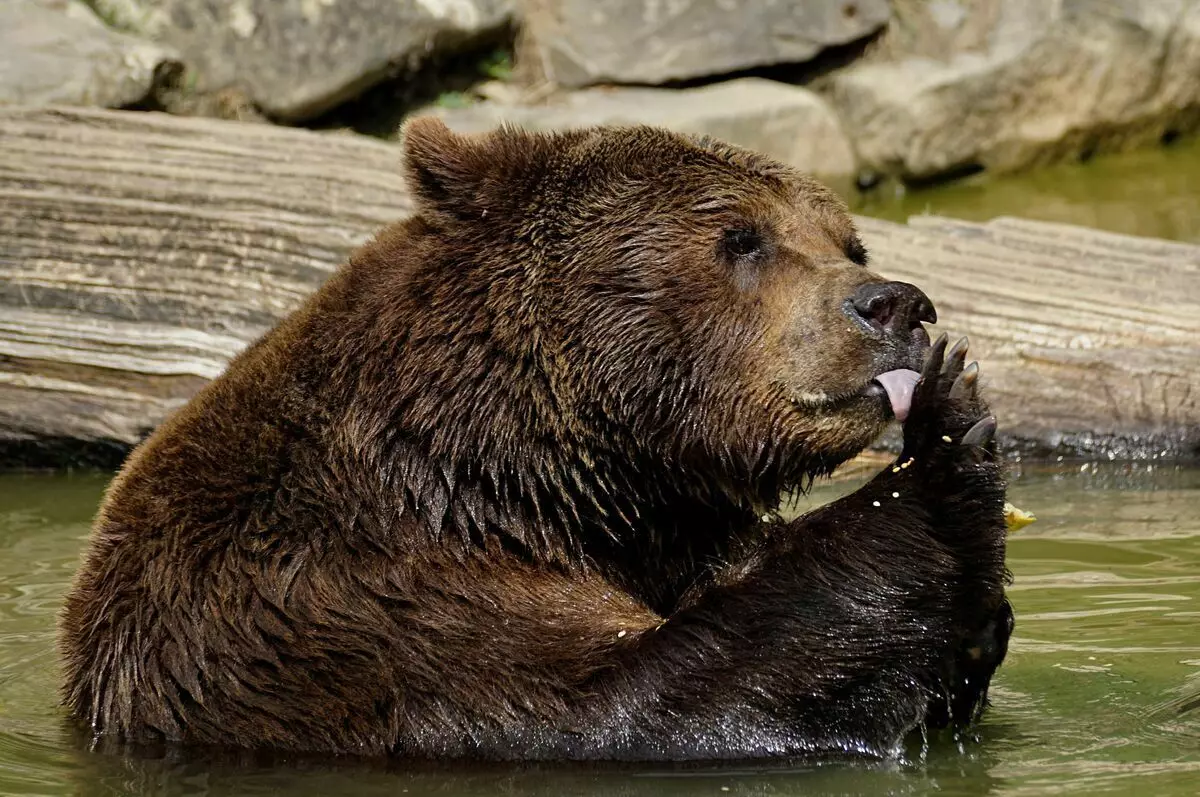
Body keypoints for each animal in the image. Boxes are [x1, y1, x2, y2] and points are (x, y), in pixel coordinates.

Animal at [58, 117, 1012, 758]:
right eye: (741, 238)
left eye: (849, 241)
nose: (896, 304)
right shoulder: (343, 606)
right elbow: (620, 705)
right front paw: (947, 446)